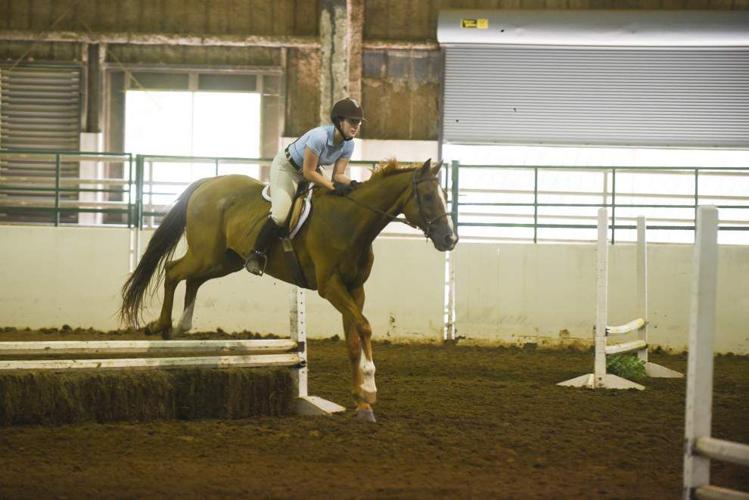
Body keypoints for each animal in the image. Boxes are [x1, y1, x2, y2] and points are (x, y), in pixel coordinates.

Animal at [119, 158, 457, 422]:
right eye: (428, 196)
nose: (450, 239)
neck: (351, 222)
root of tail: (208, 184)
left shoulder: (355, 289)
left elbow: (353, 339)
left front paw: (362, 403)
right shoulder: (331, 287)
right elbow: (364, 327)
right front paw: (371, 386)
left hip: (223, 260)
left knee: (192, 279)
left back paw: (181, 325)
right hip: (207, 254)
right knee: (173, 271)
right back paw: (161, 325)